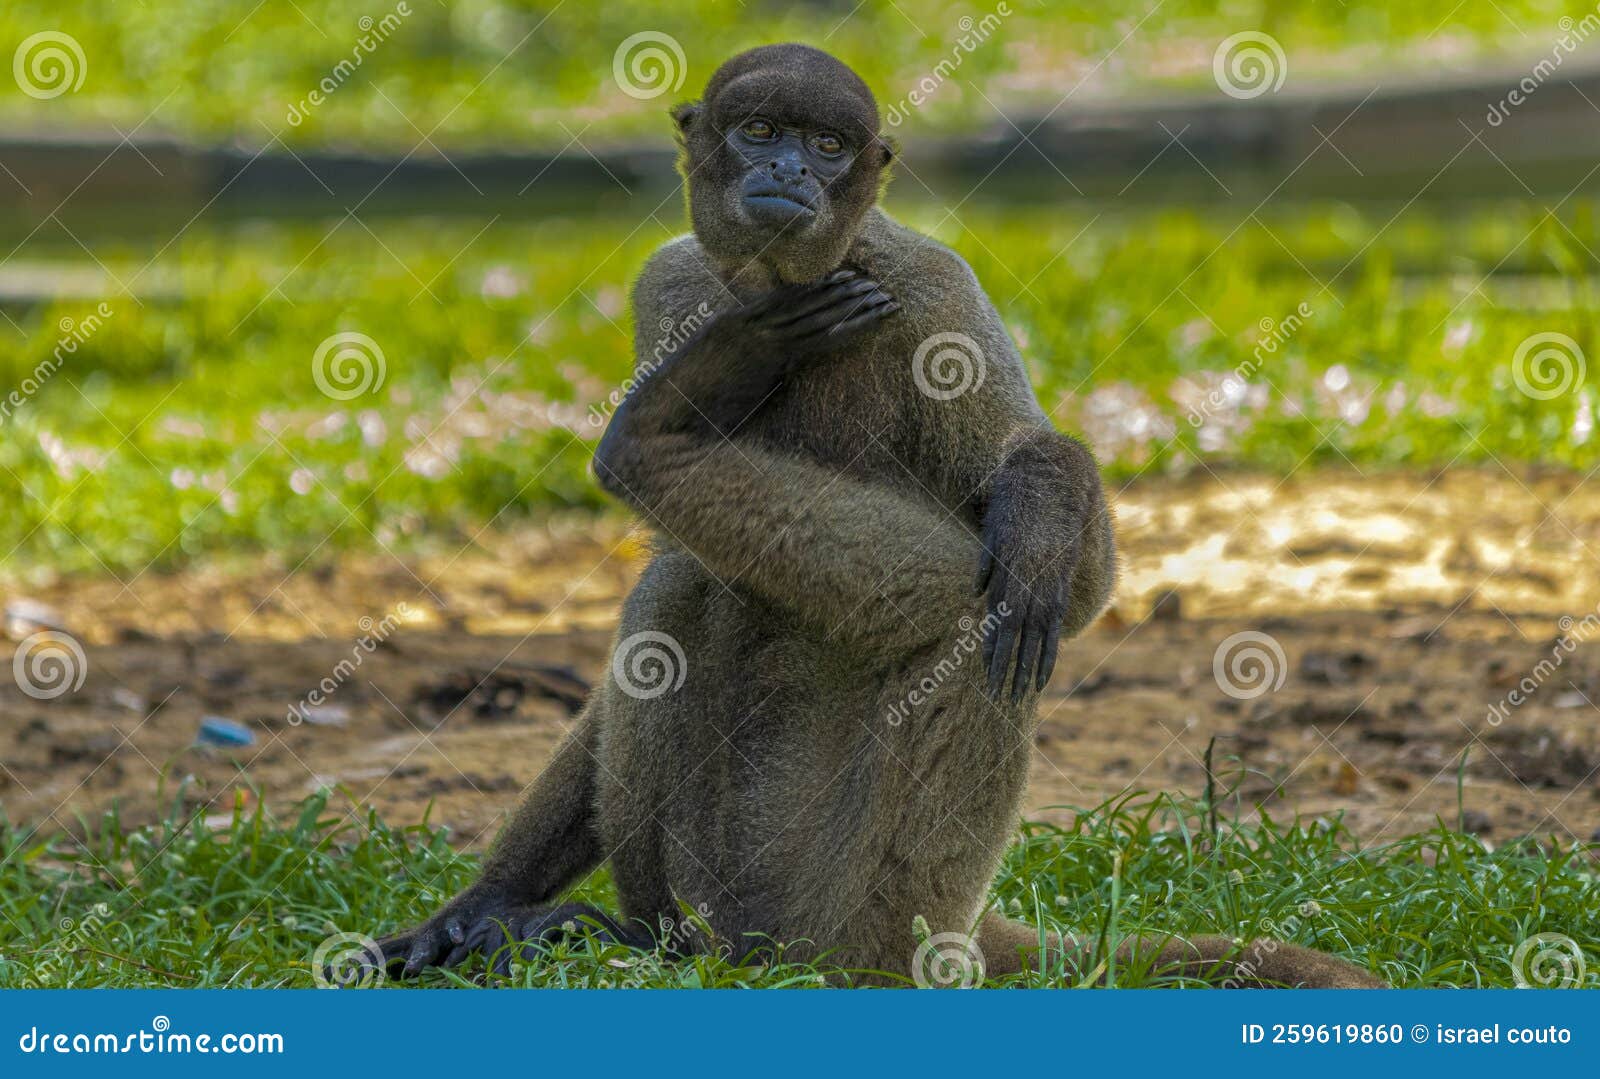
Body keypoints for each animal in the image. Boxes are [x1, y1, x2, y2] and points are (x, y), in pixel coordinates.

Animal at [369, 44, 1385, 989]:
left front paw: (1042, 509)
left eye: (827, 146)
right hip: (721, 882)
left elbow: (1072, 572)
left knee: (985, 613)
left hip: (837, 902)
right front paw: (482, 900)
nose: (790, 171)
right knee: (680, 581)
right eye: (760, 132)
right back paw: (635, 935)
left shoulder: (930, 284)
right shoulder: (671, 285)